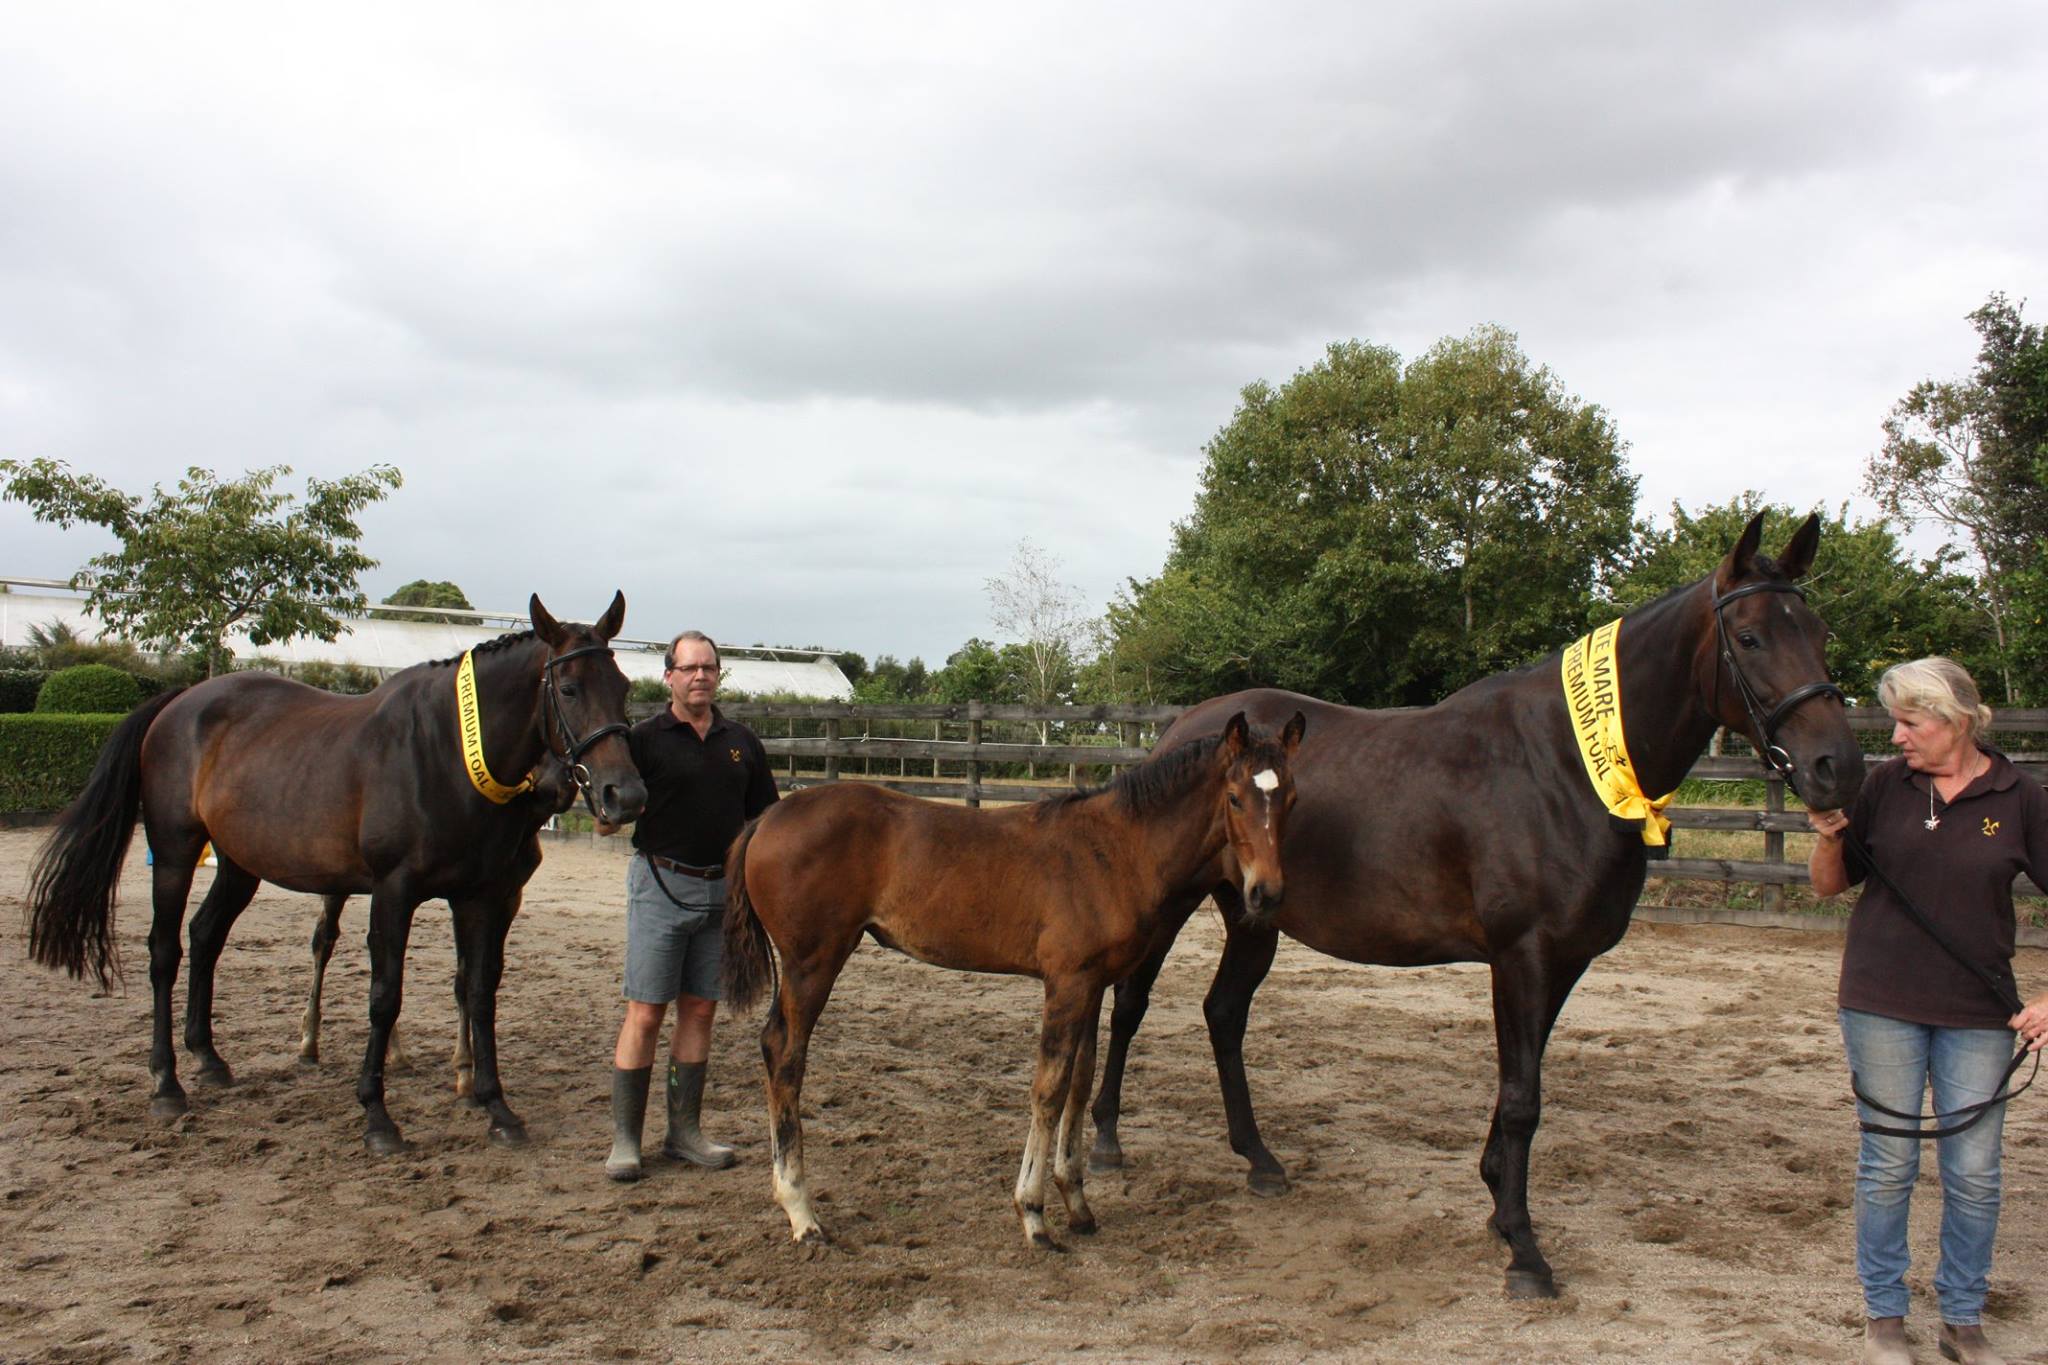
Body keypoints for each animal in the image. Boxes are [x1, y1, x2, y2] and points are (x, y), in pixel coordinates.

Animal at [24, 594, 646, 1154]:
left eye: (623, 688)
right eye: (569, 689)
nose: (624, 794)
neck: (446, 753)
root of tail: (181, 701)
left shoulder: (483, 896)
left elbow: (478, 990)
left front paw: (496, 1106)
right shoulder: (393, 891)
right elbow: (385, 995)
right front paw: (378, 1115)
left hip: (240, 863)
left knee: (206, 937)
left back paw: (209, 1058)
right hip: (175, 853)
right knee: (164, 952)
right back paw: (167, 1083)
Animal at [722, 709, 1305, 1250]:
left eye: (1293, 799)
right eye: (1235, 798)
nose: (1266, 893)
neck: (1116, 849)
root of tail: (766, 819)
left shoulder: (1092, 984)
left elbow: (1079, 1083)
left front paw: (1078, 1203)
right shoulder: (1065, 983)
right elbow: (1048, 1089)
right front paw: (1034, 1215)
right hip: (812, 963)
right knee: (786, 1053)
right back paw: (802, 1213)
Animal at [1085, 512, 1865, 1298]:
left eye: (1820, 630)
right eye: (1751, 637)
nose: (1837, 768)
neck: (1564, 766)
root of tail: (1184, 728)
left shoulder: (1561, 962)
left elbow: (1520, 1083)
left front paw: (1496, 1202)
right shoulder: (1522, 955)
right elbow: (1523, 1098)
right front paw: (1524, 1248)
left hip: (1255, 915)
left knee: (1223, 1013)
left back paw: (1258, 1158)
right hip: (1177, 905)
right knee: (1133, 1003)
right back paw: (1107, 1139)